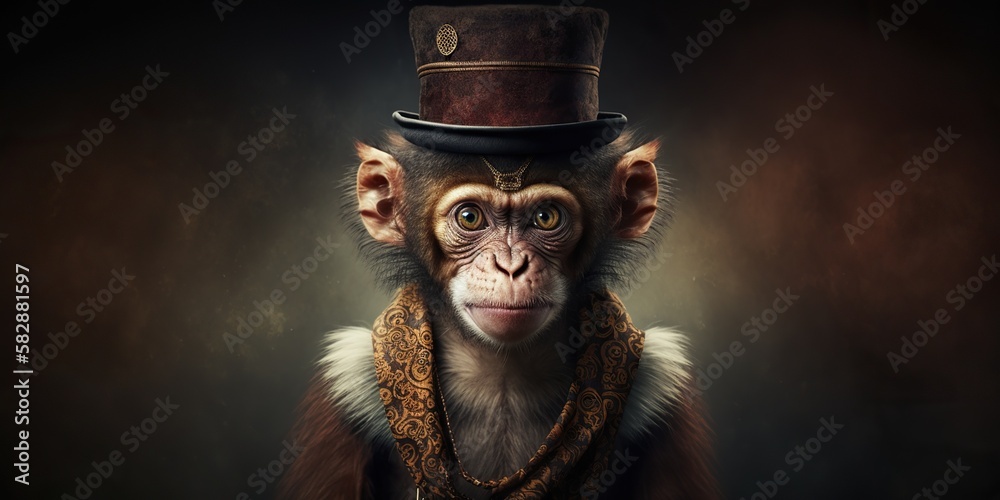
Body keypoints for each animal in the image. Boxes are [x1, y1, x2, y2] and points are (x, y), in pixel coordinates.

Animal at [277, 129, 718, 499]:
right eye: (469, 216)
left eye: (546, 216)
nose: (510, 266)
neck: (501, 377)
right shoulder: (340, 397)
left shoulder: (669, 400)